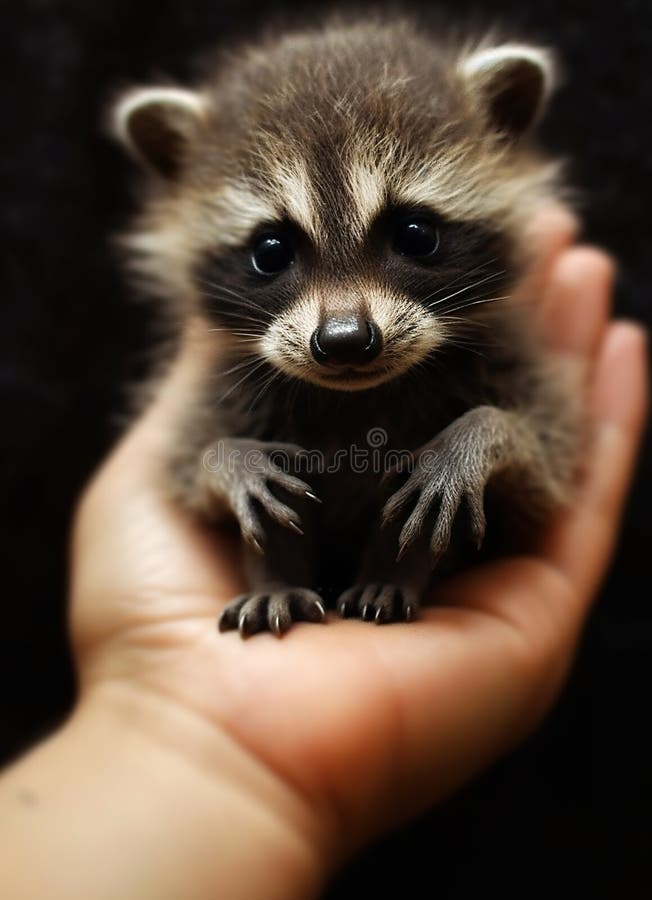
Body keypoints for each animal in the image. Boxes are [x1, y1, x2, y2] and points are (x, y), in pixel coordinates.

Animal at [110, 18, 580, 637]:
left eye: (415, 235)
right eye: (270, 251)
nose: (344, 341)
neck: (358, 396)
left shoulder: (505, 358)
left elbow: (546, 459)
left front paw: (479, 436)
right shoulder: (224, 388)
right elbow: (191, 465)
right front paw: (229, 458)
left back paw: (394, 574)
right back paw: (279, 580)